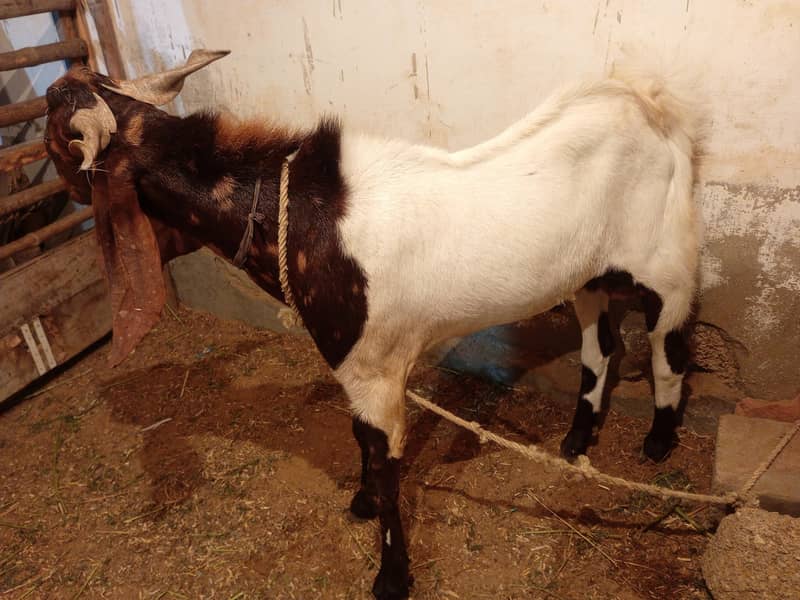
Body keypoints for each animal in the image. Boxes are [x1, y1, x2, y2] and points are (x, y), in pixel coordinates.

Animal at [44, 51, 703, 600]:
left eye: (57, 133)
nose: (53, 84)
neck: (299, 217)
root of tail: (649, 106)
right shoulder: (354, 368)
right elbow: (360, 439)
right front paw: (359, 501)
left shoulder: (379, 373)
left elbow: (388, 470)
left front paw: (391, 576)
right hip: (589, 275)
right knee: (603, 348)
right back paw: (577, 439)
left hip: (667, 263)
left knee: (670, 347)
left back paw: (659, 441)